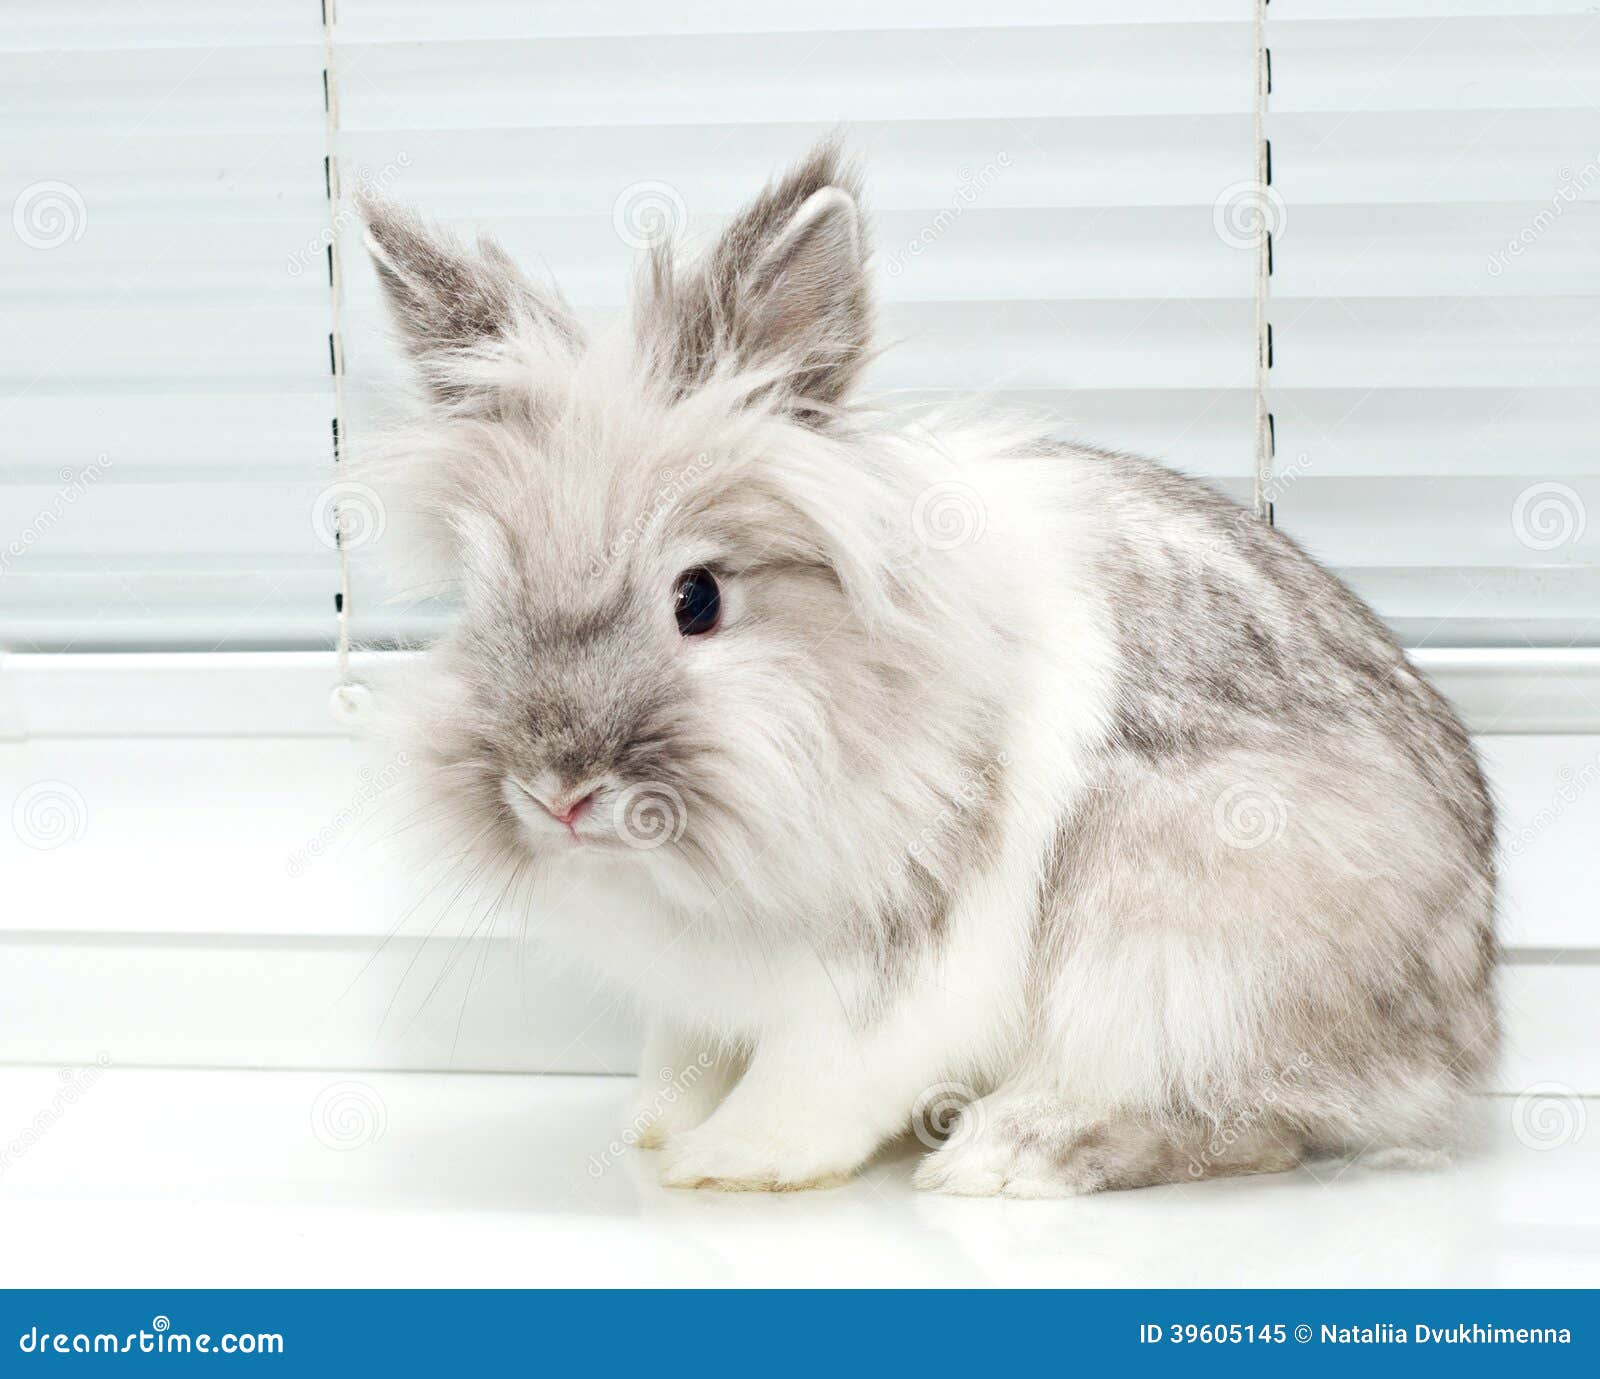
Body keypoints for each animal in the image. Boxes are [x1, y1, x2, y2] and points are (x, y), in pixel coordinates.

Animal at [360, 140, 1497, 1196]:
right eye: (482, 593)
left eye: (698, 599)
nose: (556, 790)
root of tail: (1462, 1042)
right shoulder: (700, 1000)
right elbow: (687, 1054)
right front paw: (651, 1130)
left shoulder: (890, 973)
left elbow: (815, 1076)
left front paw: (726, 1161)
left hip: (1176, 938)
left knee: (1234, 1120)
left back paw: (1003, 1154)